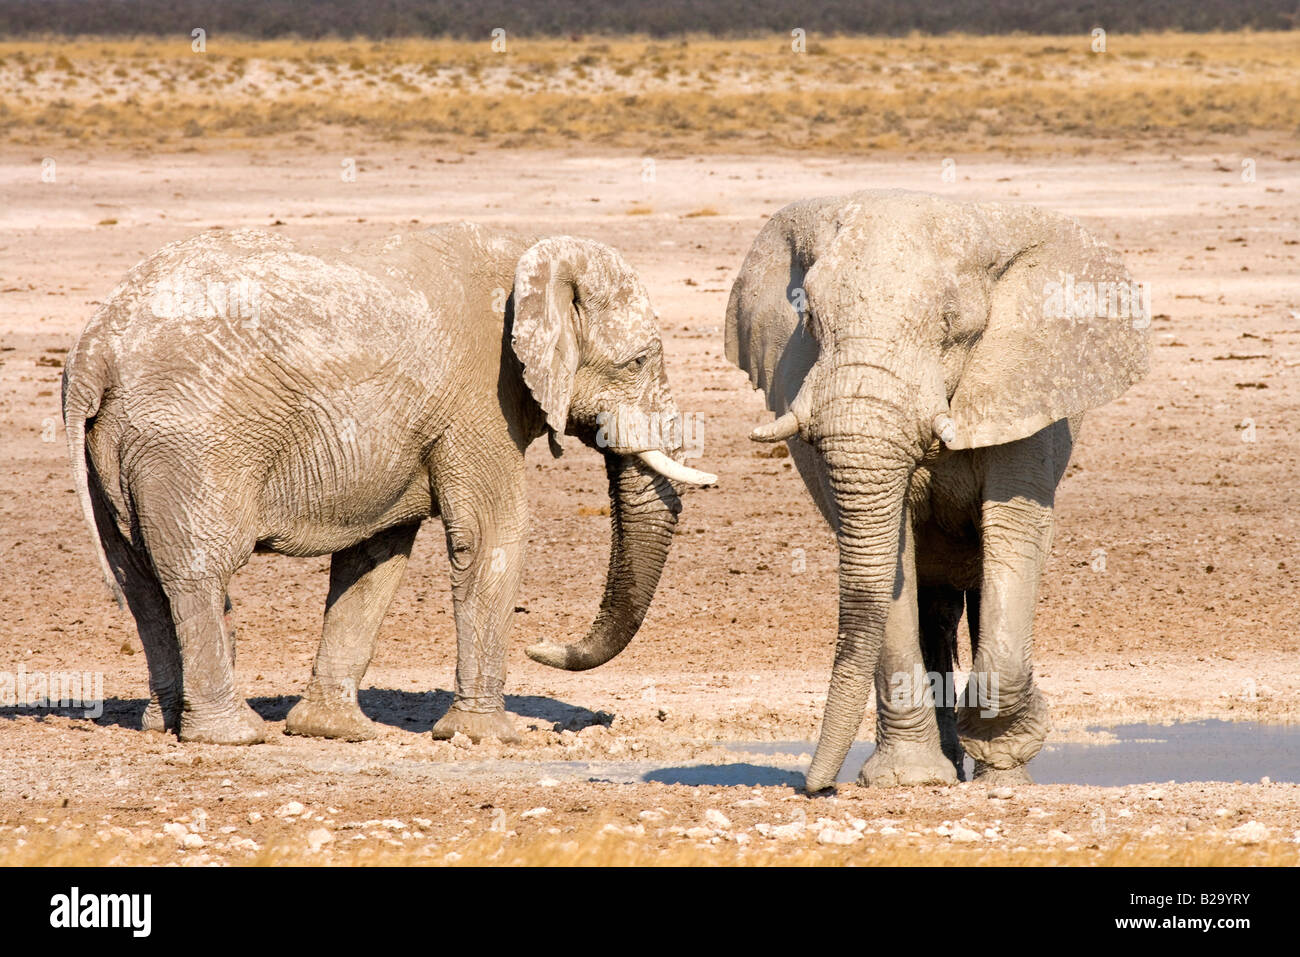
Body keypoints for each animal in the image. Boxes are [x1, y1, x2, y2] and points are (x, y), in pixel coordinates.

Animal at [62, 222, 715, 746]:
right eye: (638, 361)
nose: (544, 646)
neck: (527, 251)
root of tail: (91, 353)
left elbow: (377, 553)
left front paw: (333, 731)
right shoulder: (480, 400)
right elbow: (491, 537)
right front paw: (493, 737)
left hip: (117, 446)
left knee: (137, 579)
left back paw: (163, 726)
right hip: (191, 442)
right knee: (199, 571)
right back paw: (233, 736)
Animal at [725, 190, 1148, 791]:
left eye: (955, 326)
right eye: (808, 319)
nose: (816, 786)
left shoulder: (1026, 390)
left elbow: (1014, 531)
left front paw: (1003, 754)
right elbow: (890, 557)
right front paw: (910, 780)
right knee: (936, 610)